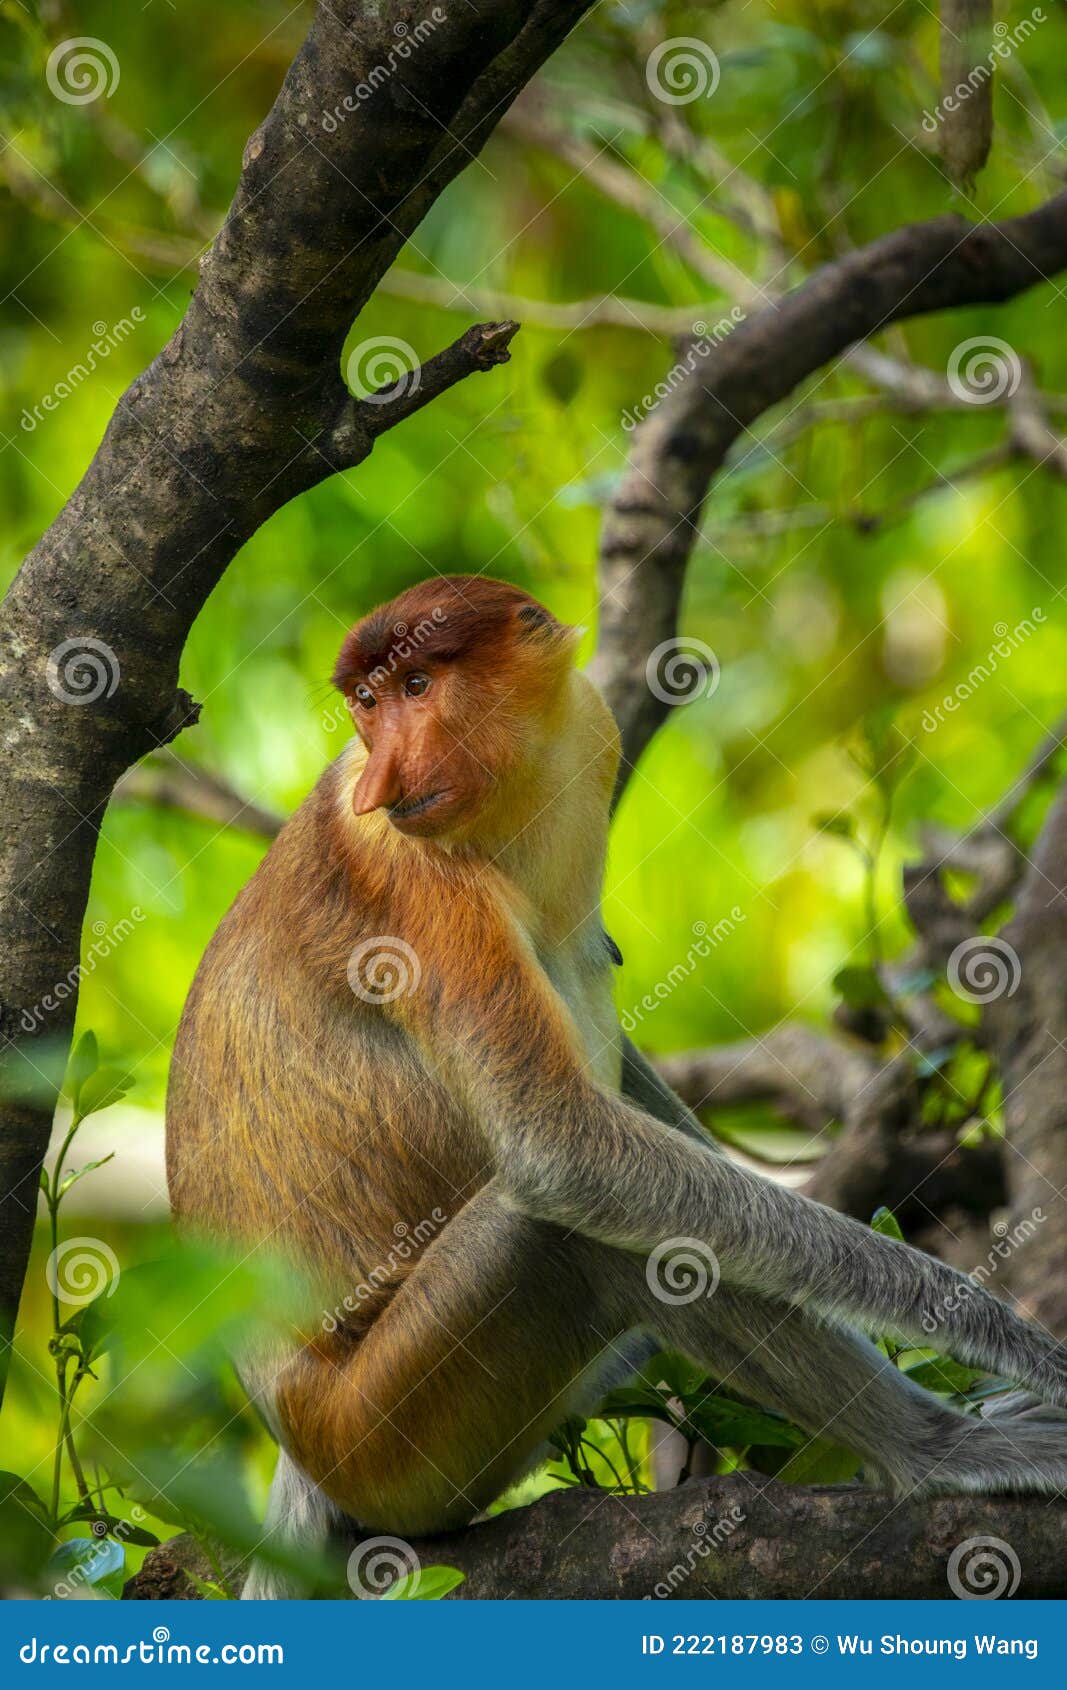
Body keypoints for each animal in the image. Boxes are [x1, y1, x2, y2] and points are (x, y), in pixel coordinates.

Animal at [166, 574, 1067, 1599]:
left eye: (416, 686)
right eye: (366, 700)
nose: (381, 783)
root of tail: (293, 1439)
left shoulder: (580, 730)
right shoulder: (412, 884)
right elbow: (560, 1147)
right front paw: (1000, 1338)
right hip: (385, 1436)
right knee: (576, 1238)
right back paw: (933, 1451)